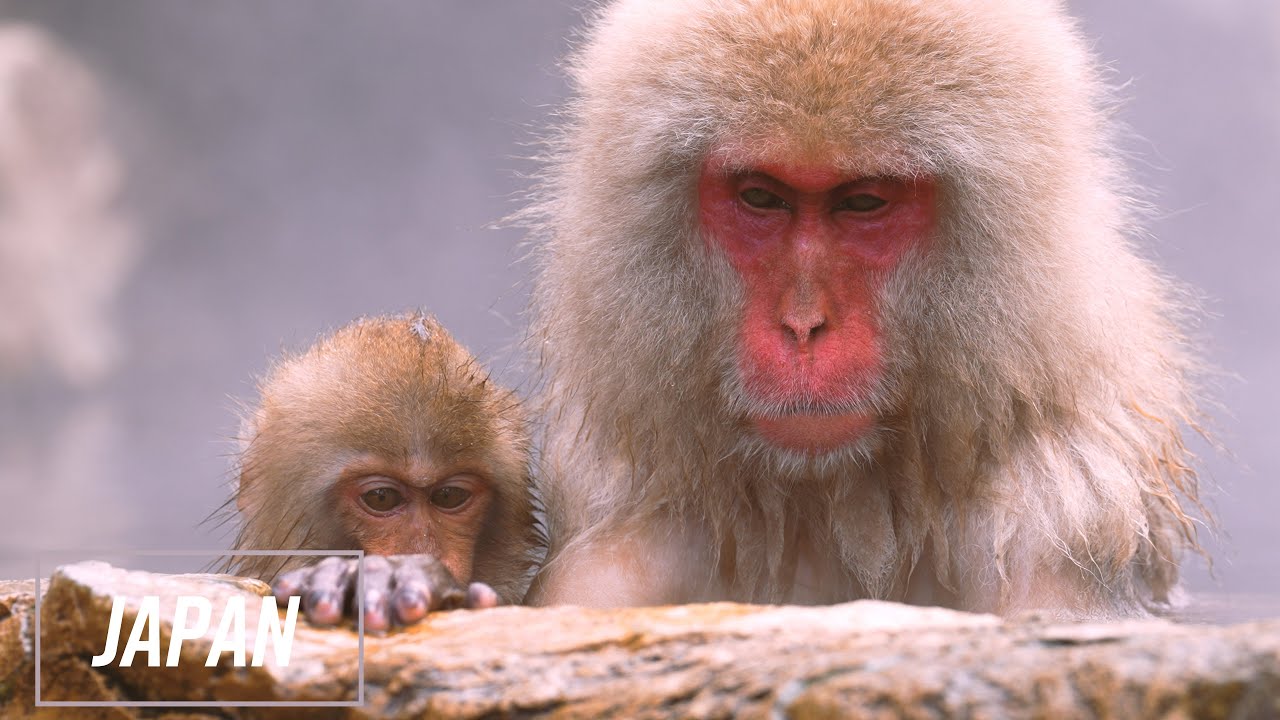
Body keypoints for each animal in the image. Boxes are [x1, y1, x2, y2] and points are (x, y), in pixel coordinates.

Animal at [517, 0, 1209, 619]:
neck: (847, 498)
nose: (802, 326)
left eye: (863, 203)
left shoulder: (1055, 516)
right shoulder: (631, 519)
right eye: (761, 197)